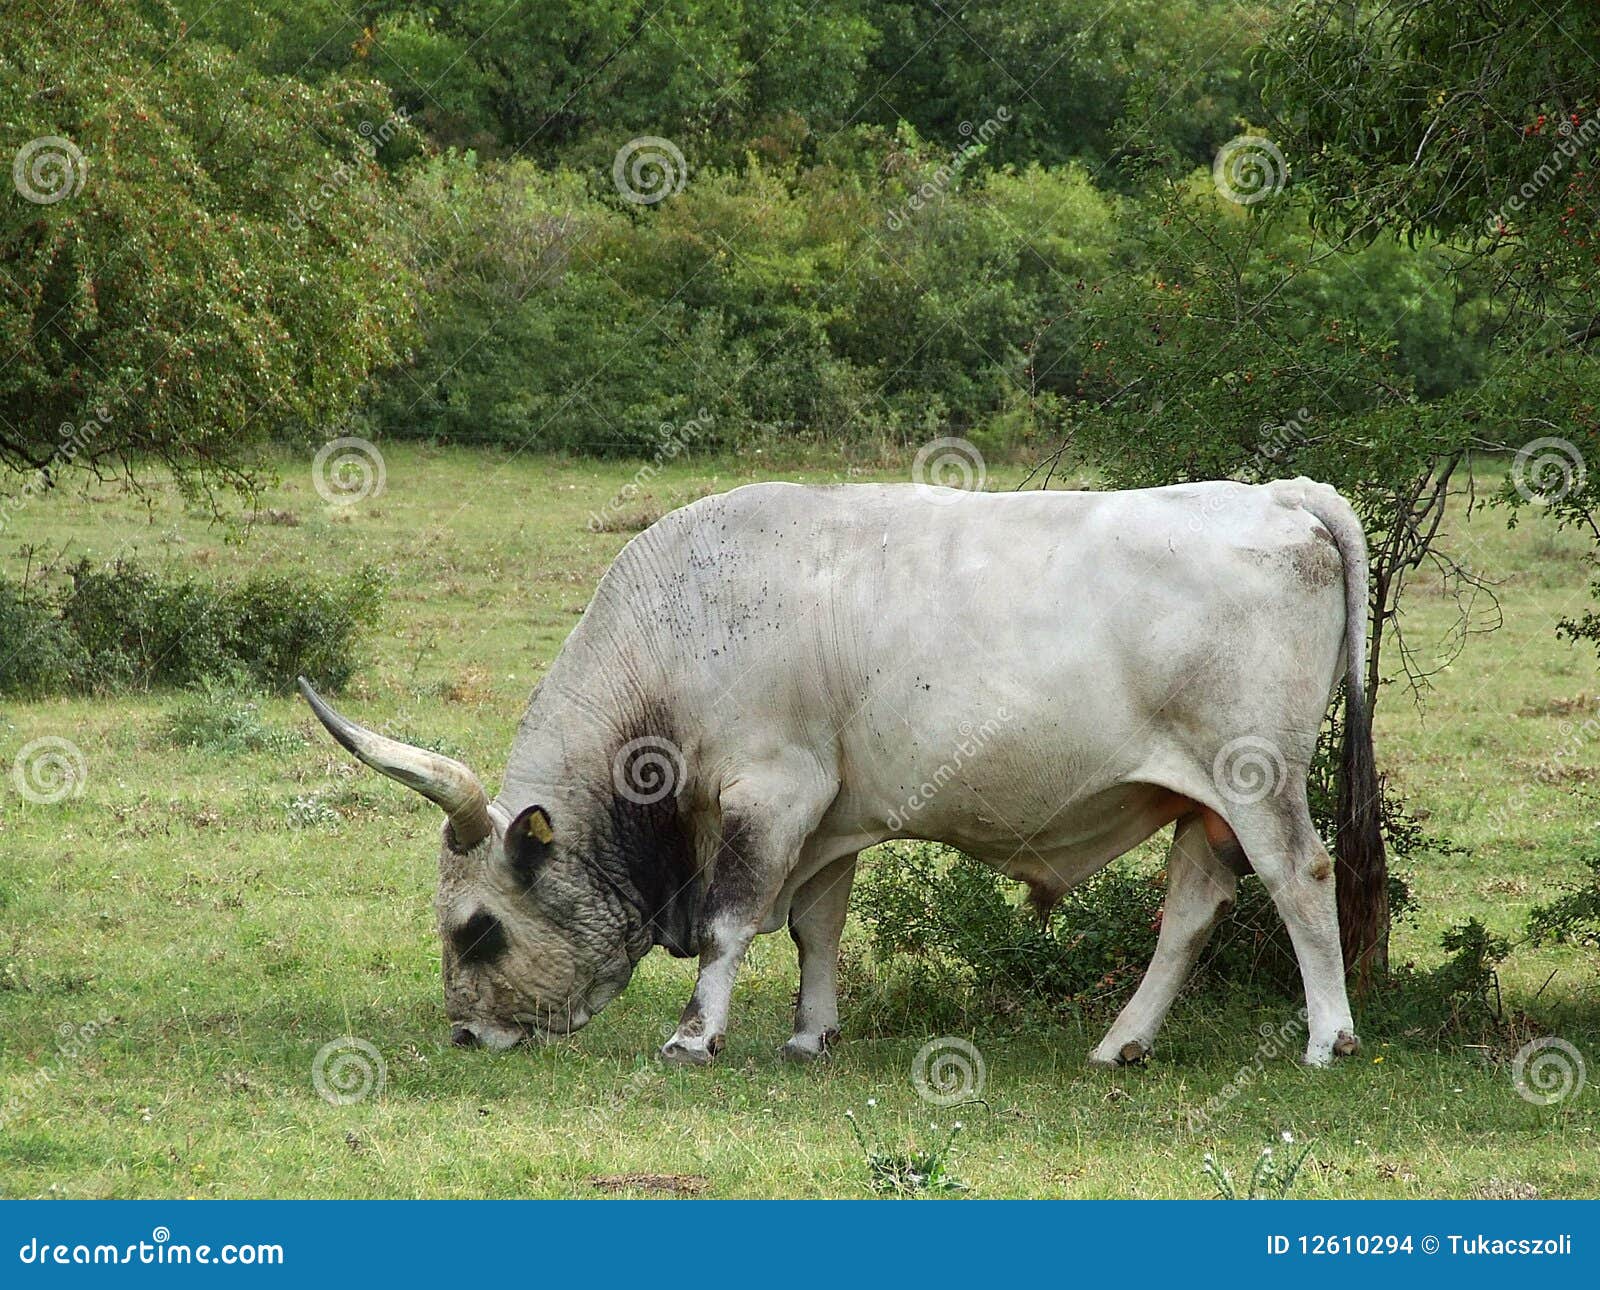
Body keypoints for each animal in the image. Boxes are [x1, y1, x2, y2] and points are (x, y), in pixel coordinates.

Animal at [300, 476, 1381, 1068]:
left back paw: (1328, 1037)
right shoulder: (832, 813)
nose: (465, 1035)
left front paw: (694, 1036)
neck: (675, 632)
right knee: (1194, 909)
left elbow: (731, 923)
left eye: (478, 929)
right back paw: (1123, 1042)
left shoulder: (770, 797)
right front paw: (809, 1032)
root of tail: (1277, 494)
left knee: (1301, 879)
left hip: (1254, 781)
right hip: (1203, 804)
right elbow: (815, 927)